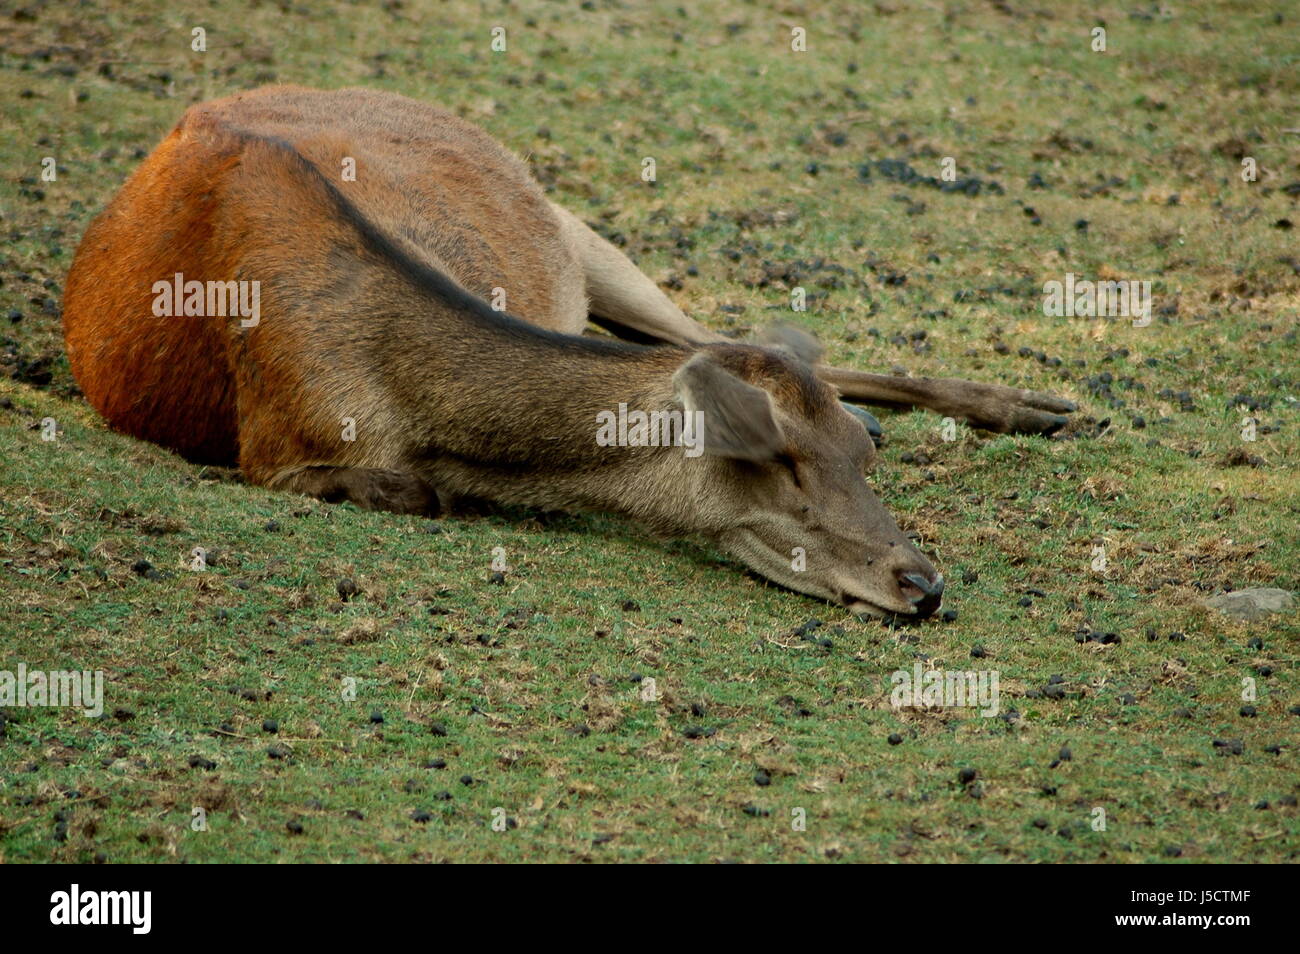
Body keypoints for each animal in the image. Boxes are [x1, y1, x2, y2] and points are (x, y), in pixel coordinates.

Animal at [62, 86, 1075, 621]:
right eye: (778, 460)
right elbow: (411, 492)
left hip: (578, 228)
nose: (924, 583)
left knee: (706, 331)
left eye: (859, 461)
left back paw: (1040, 404)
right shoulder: (271, 445)